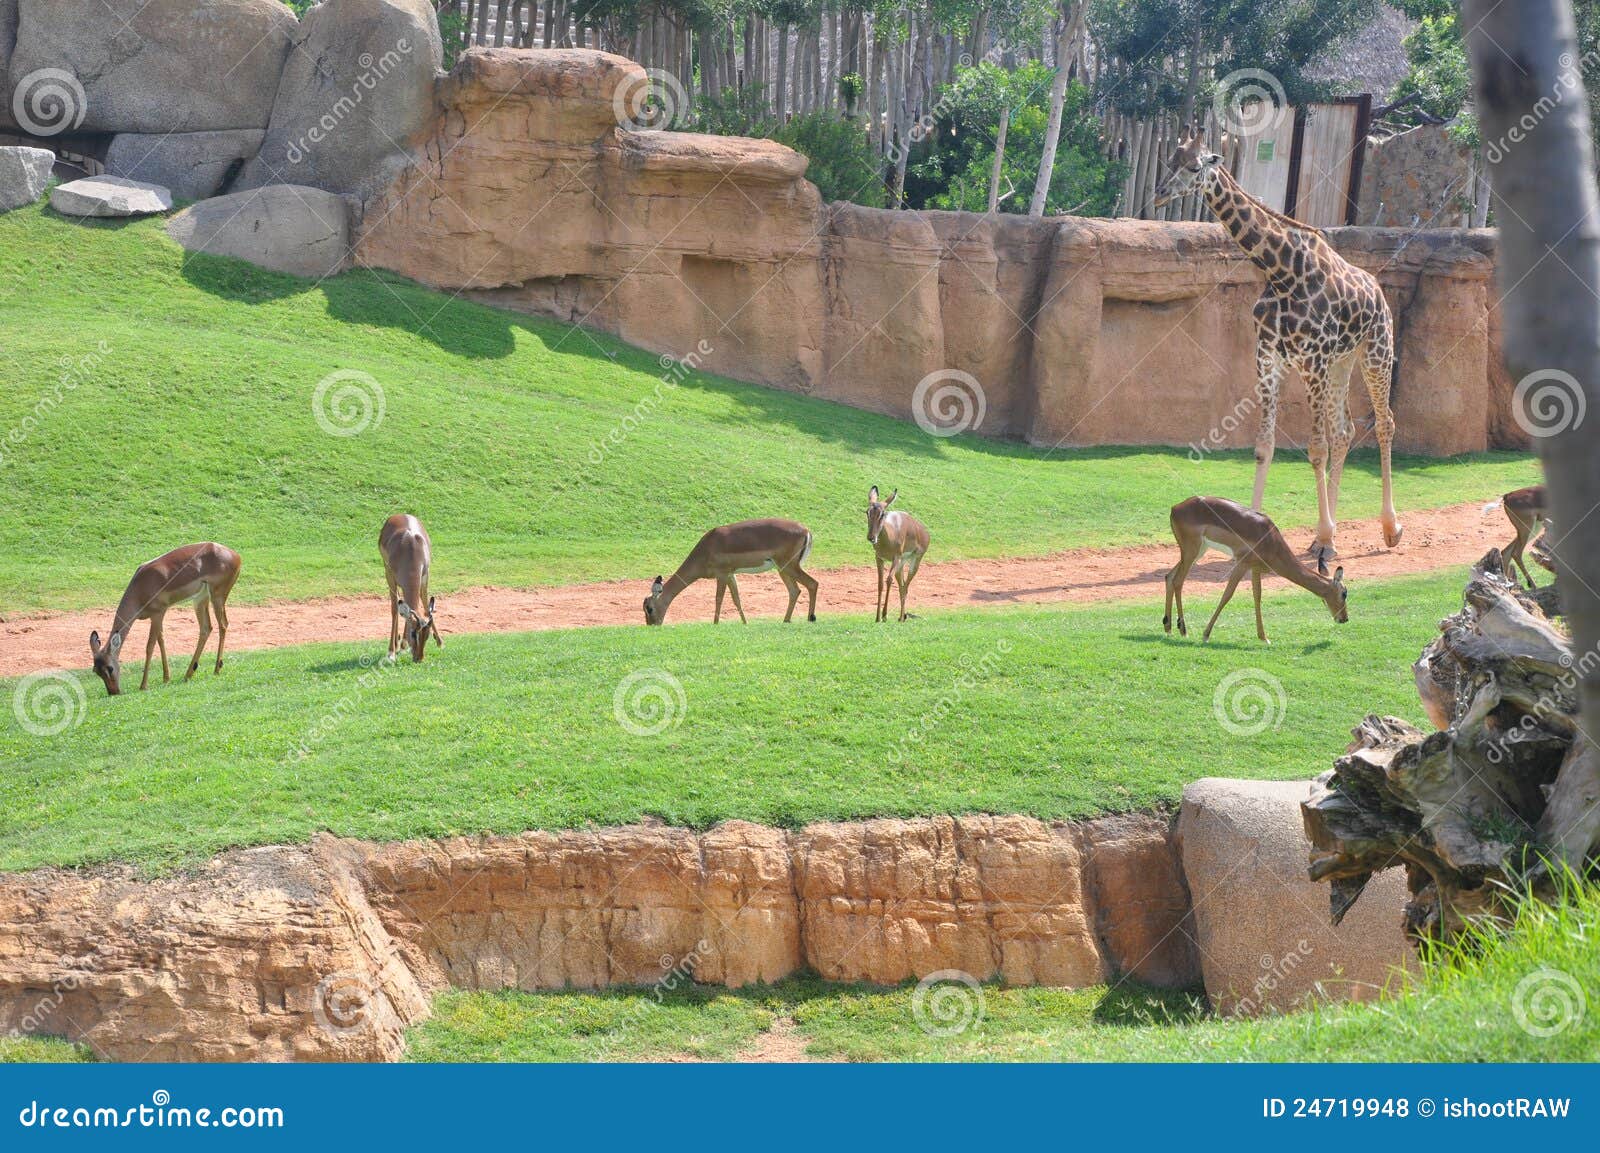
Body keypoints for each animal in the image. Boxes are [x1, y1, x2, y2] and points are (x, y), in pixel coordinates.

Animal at [1154, 135, 1403, 571]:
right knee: (1345, 430)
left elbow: (1316, 449)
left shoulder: (1312, 358)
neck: (1281, 271)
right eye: (1170, 160)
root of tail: (1378, 292)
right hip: (1342, 362)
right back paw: (1326, 533)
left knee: (1383, 423)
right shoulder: (1269, 355)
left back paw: (1387, 528)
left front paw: (1326, 541)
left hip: (1374, 350)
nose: (1160, 194)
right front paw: (1257, 532)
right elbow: (1264, 446)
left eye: (1194, 167)